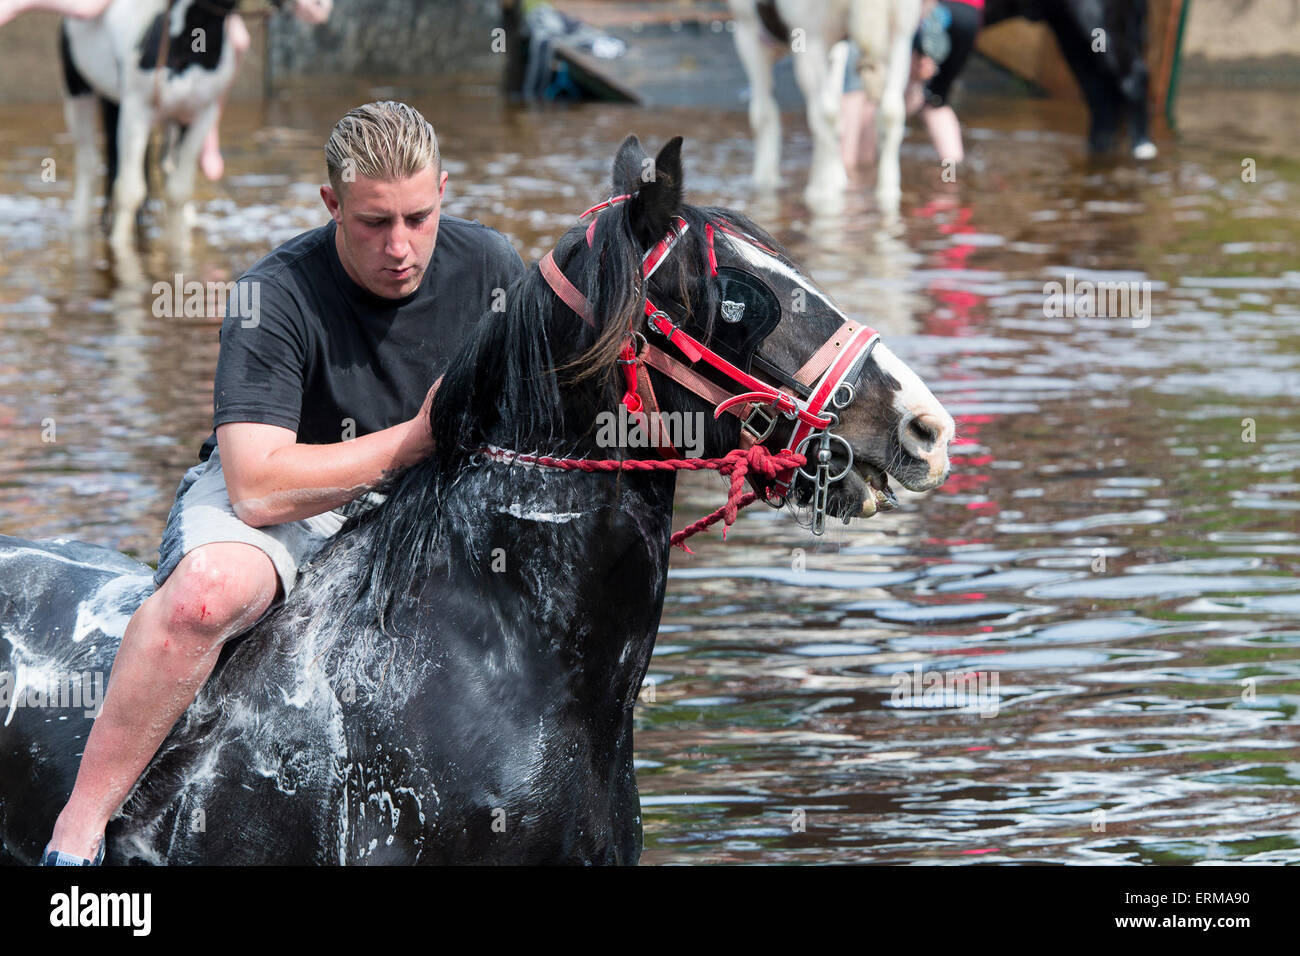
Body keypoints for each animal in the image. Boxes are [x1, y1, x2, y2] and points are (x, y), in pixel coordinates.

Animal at [59, 0, 332, 249]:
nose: (319, 7)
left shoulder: (201, 115)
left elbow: (178, 192)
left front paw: (178, 242)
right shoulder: (136, 111)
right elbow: (129, 190)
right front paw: (119, 243)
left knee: (164, 167)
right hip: (79, 91)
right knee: (89, 162)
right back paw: (80, 225)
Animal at [728, 0, 923, 212]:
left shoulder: (749, 30)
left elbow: (763, 114)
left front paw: (766, 180)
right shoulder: (836, 44)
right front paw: (835, 177)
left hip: (809, 38)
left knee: (825, 114)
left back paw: (826, 193)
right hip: (900, 35)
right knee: (890, 113)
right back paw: (886, 192)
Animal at [985, 0, 1156, 159]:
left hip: (1096, 24)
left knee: (1132, 79)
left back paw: (1141, 145)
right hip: (1074, 39)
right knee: (1100, 97)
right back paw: (1097, 148)